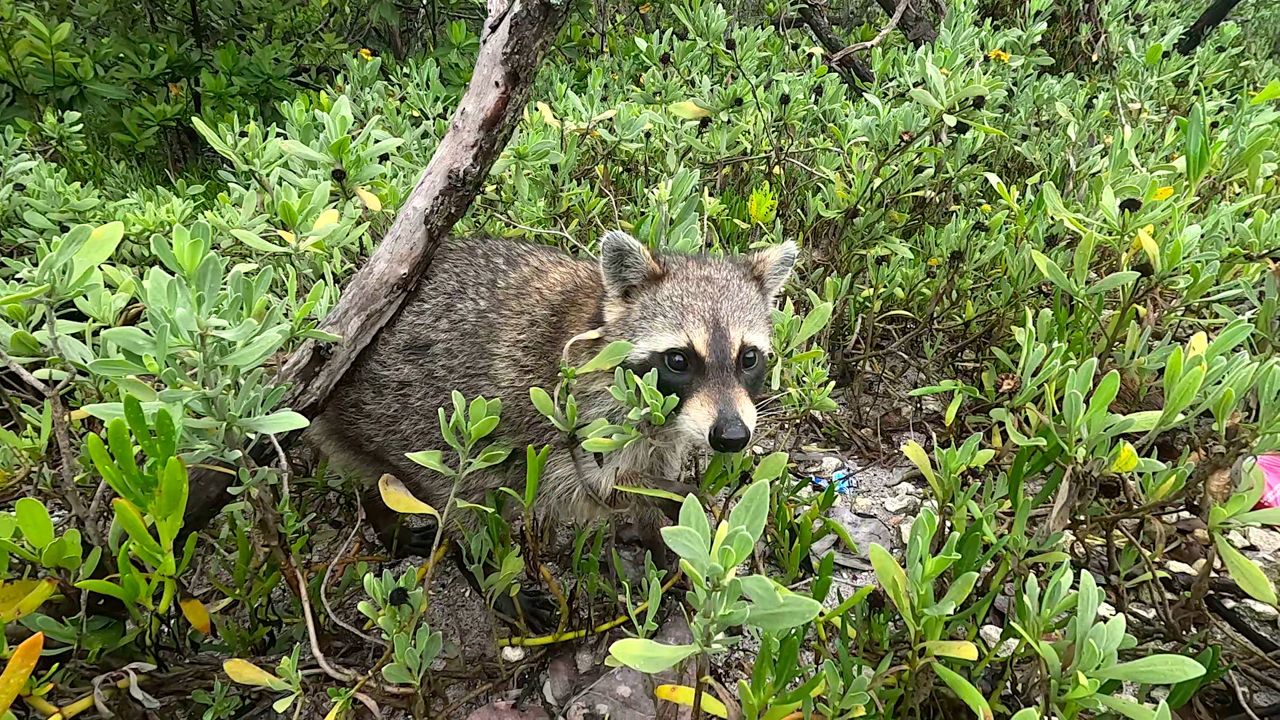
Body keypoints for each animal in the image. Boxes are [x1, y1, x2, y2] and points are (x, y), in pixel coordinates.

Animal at [308, 230, 796, 626]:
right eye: (679, 359)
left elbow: (651, 482)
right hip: (418, 425)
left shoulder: (666, 434)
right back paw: (490, 581)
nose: (731, 437)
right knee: (464, 511)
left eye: (748, 357)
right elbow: (604, 488)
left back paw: (382, 519)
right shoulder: (575, 421)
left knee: (383, 480)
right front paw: (684, 499)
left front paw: (664, 539)